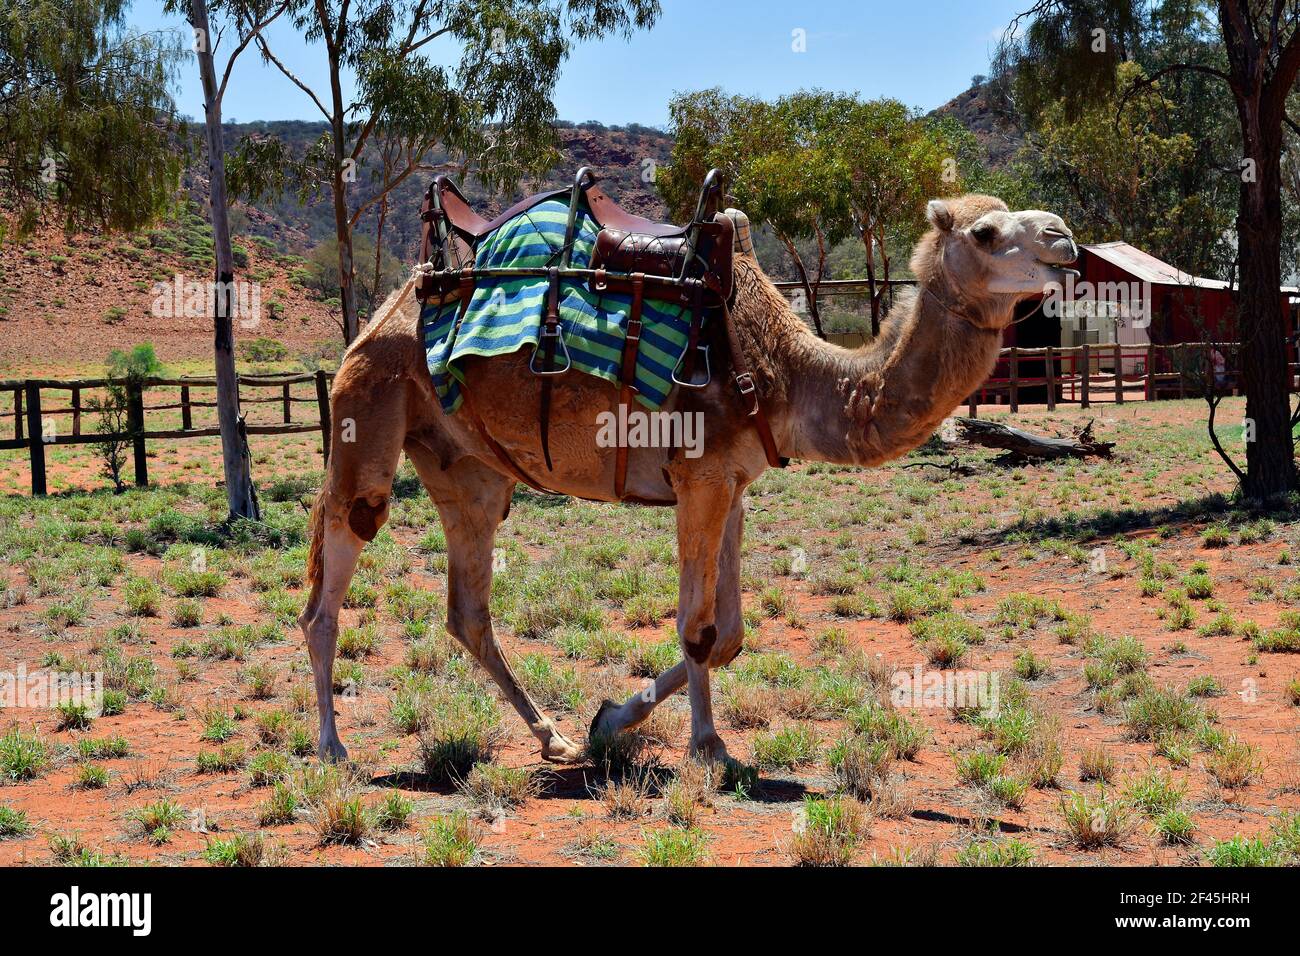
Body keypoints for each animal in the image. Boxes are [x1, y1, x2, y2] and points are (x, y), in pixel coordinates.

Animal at [300, 193, 1078, 765]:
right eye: (986, 231)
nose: (1065, 239)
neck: (781, 369)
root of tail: (388, 308)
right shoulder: (699, 476)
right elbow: (697, 627)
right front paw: (709, 745)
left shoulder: (734, 483)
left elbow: (729, 632)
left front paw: (607, 719)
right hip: (370, 406)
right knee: (334, 570)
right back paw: (334, 747)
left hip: (468, 468)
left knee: (467, 609)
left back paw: (553, 738)